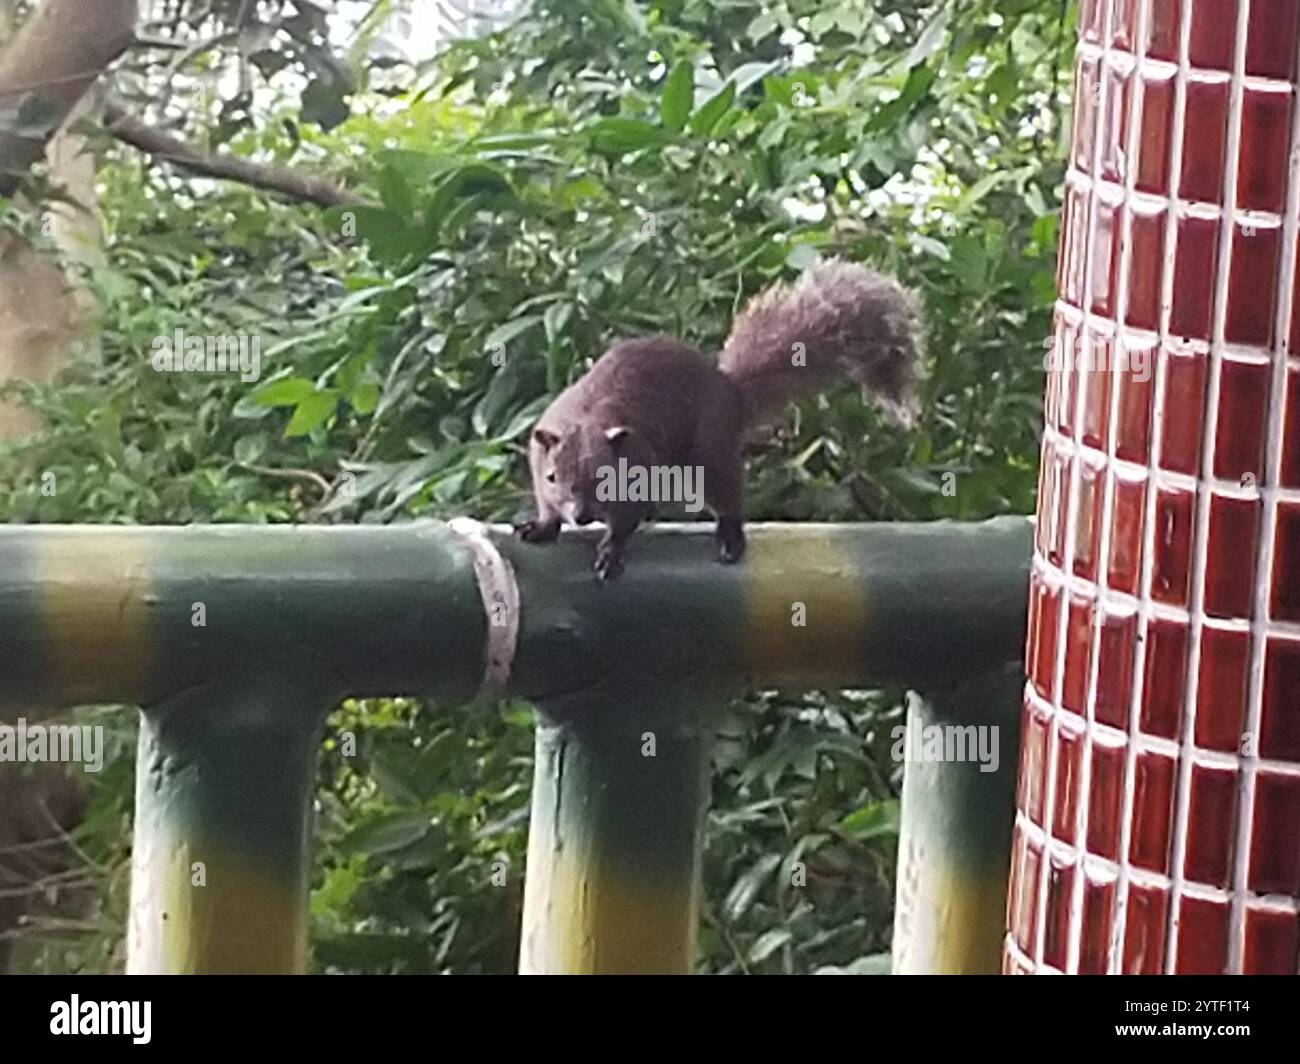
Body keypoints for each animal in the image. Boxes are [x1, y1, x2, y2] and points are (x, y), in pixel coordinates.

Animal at [515, 258, 923, 580]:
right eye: (551, 477)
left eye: (604, 476)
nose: (581, 515)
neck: (586, 419)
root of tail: (731, 392)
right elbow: (548, 509)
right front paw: (541, 526)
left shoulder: (638, 469)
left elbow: (624, 522)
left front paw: (611, 553)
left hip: (712, 454)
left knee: (728, 500)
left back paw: (730, 538)